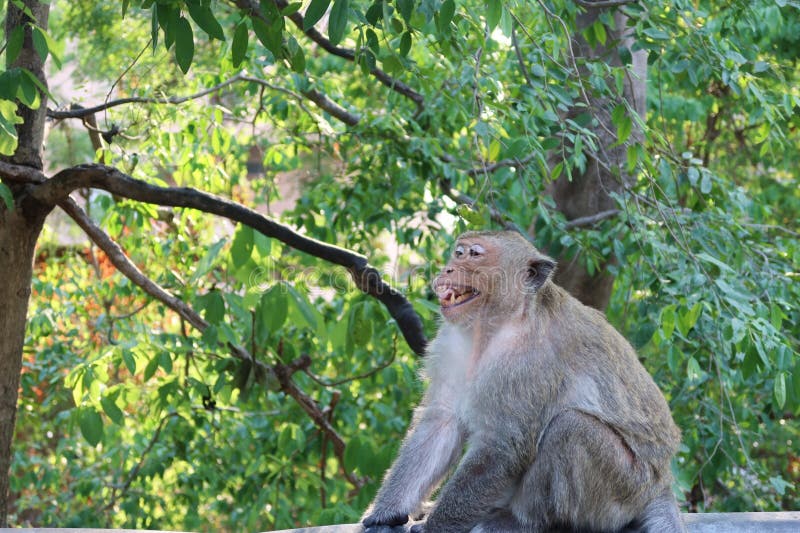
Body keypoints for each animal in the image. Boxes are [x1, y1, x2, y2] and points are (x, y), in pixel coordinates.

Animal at [362, 230, 684, 533]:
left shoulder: (526, 361)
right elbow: (441, 422)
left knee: (571, 428)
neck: (497, 324)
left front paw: (434, 528)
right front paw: (384, 512)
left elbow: (501, 448)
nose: (449, 268)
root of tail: (662, 483)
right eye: (458, 252)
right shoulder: (452, 342)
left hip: (623, 489)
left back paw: (519, 519)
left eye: (474, 254)